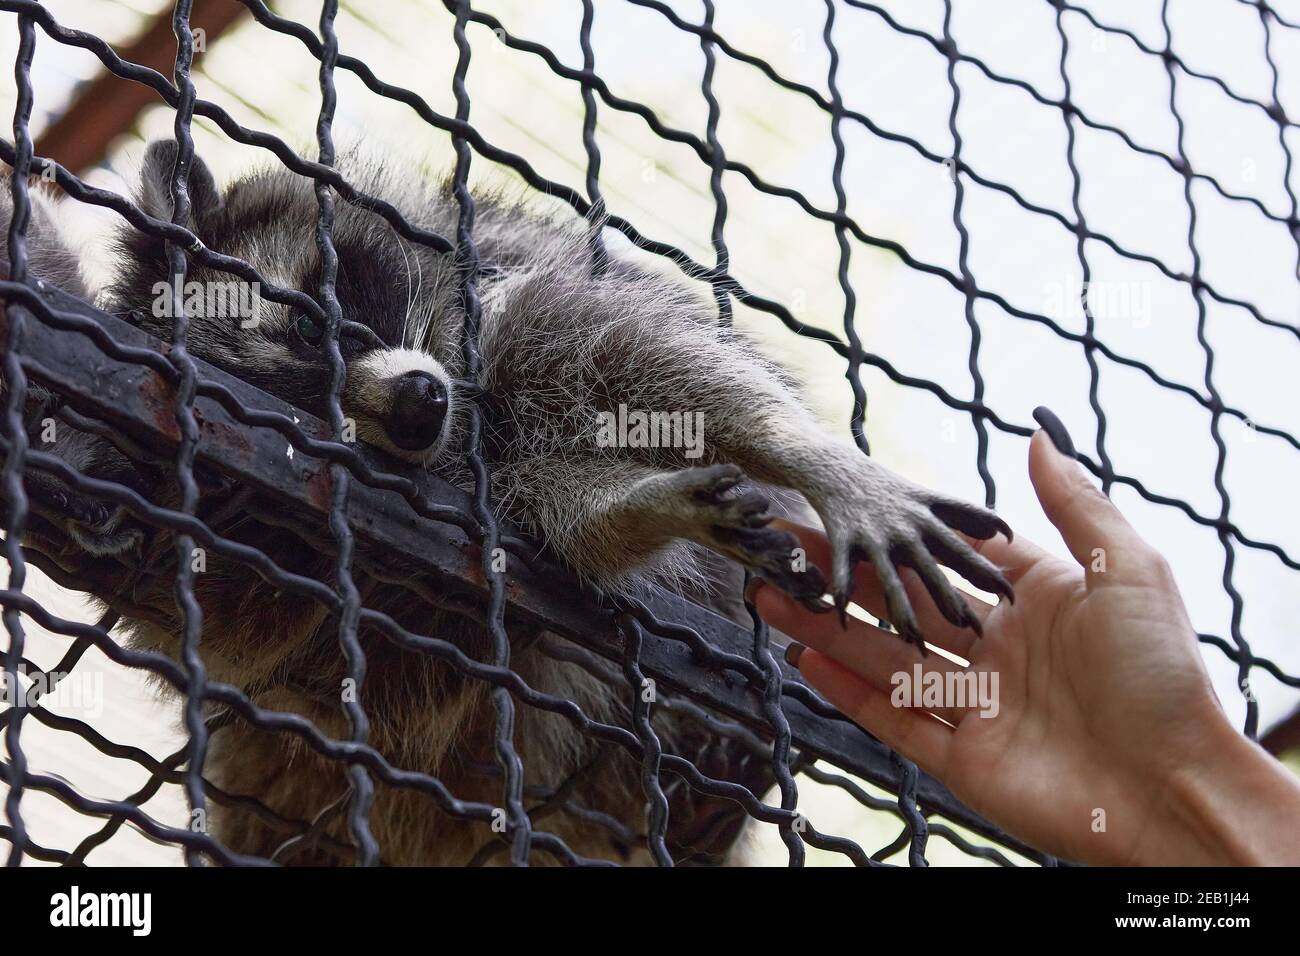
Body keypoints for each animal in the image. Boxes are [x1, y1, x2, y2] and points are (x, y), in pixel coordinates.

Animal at [0, 141, 1013, 865]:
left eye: (315, 318)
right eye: (285, 412)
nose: (416, 406)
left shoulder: (499, 289)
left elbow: (630, 349)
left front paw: (815, 458)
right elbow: (250, 618)